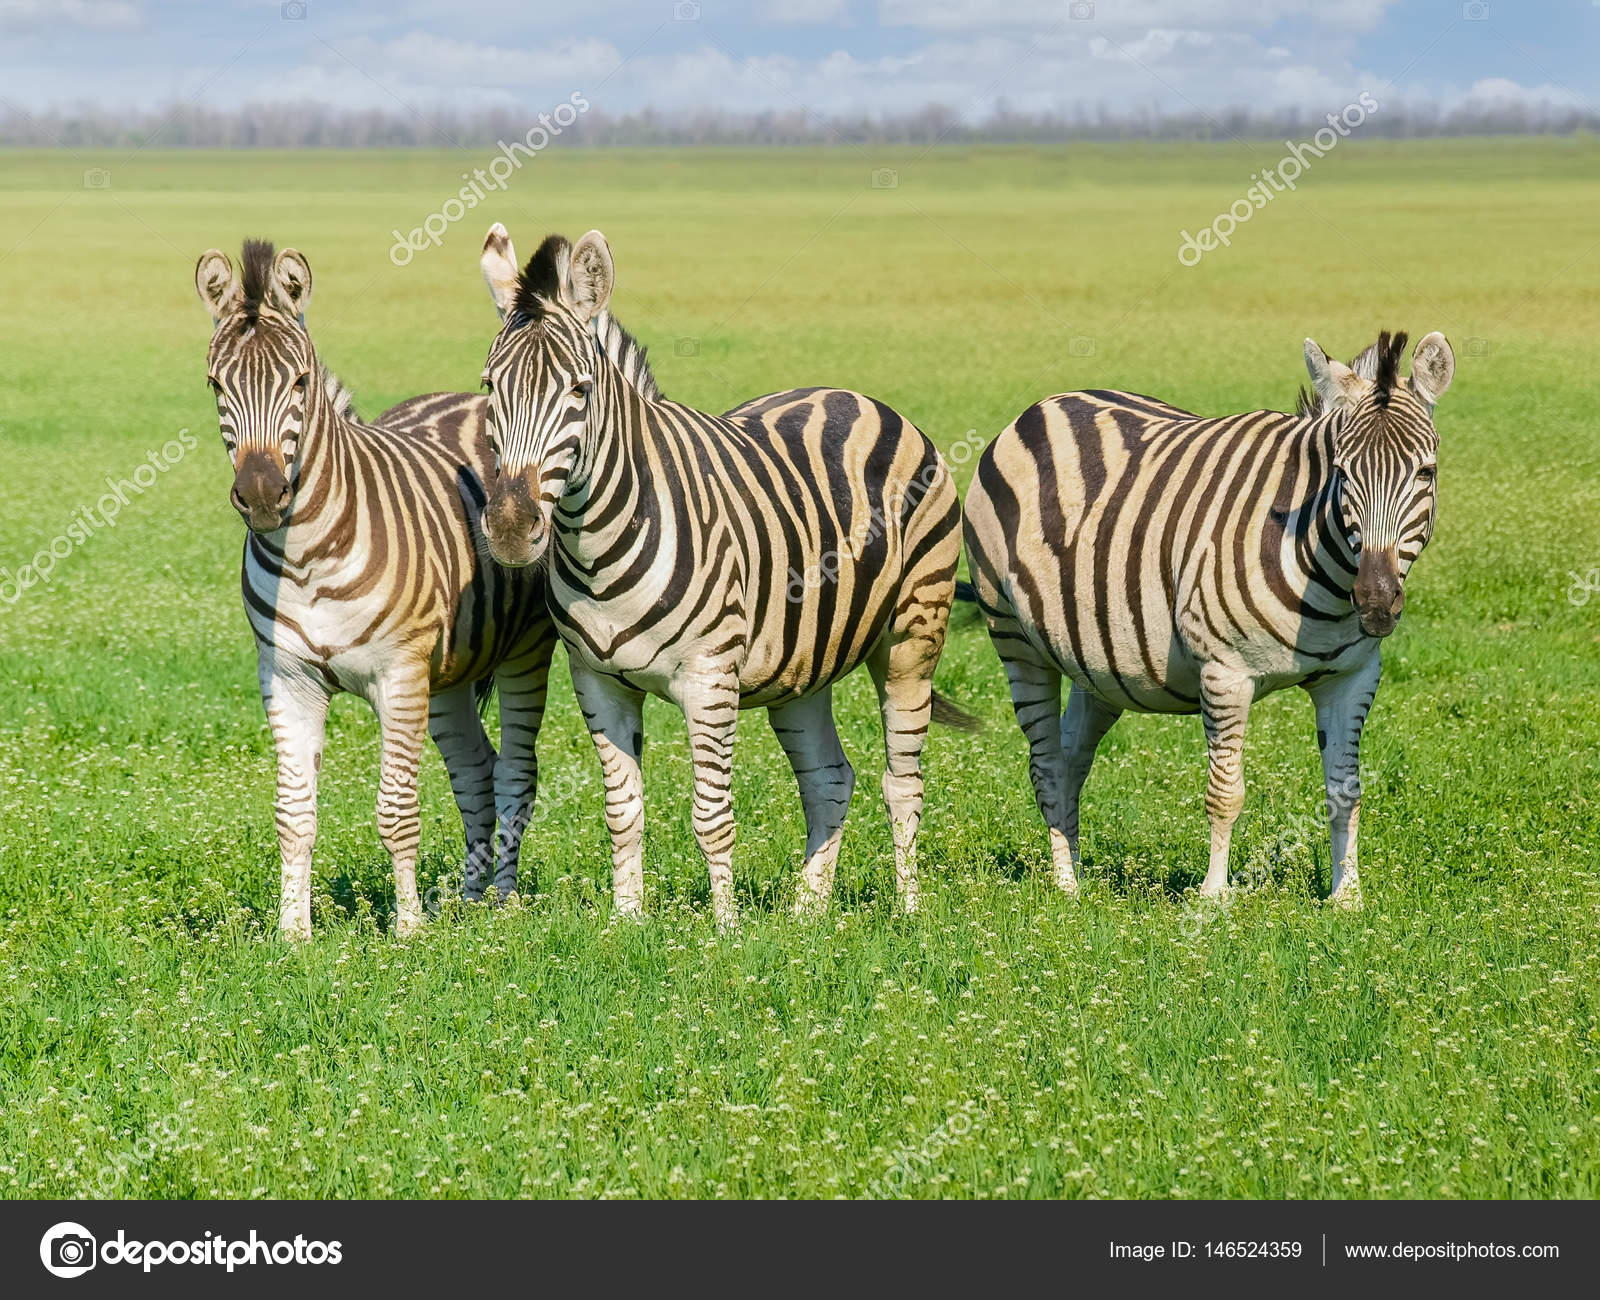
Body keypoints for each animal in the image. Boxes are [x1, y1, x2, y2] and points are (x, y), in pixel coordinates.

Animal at [473, 224, 972, 925]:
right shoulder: (597, 681)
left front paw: (726, 931)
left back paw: (907, 910)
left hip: (913, 634)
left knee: (901, 782)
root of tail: (852, 395)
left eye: (579, 390)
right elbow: (622, 810)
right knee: (830, 777)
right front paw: (627, 923)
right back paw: (808, 912)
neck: (598, 544)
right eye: (490, 387)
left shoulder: (710, 679)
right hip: (803, 661)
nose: (514, 530)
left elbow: (712, 817)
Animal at [961, 330, 1454, 906]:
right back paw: (1066, 888)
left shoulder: (1351, 677)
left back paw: (1079, 872)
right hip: (1016, 641)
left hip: (1097, 662)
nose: (1375, 602)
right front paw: (1214, 897)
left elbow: (1344, 789)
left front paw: (1346, 897)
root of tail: (1046, 405)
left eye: (1426, 472)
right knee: (1045, 765)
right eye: (1341, 473)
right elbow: (1225, 793)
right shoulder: (1225, 673)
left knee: (1069, 760)